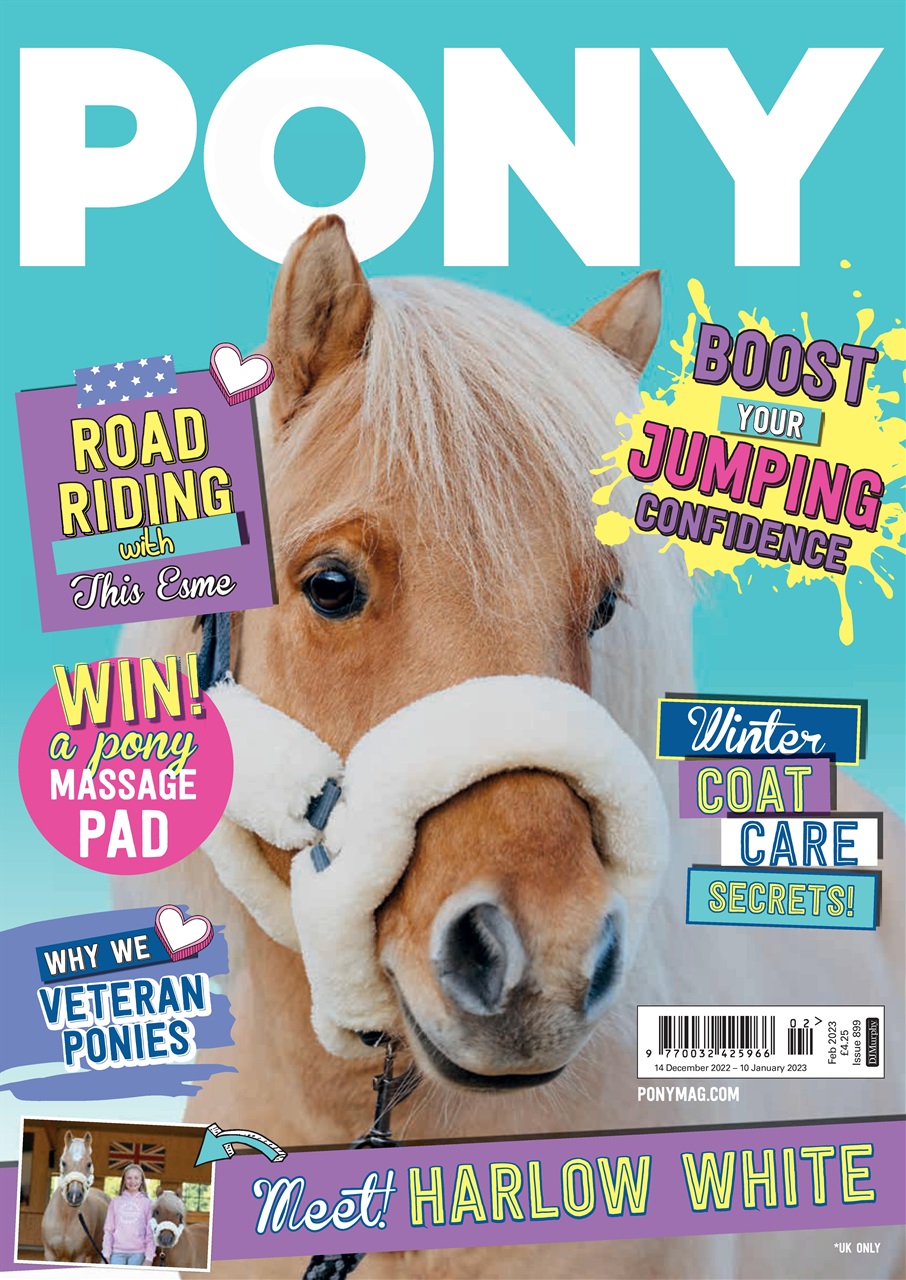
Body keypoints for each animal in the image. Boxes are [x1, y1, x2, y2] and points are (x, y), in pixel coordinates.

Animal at [41, 1130, 110, 1264]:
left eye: (89, 1164)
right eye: (63, 1162)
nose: (74, 1196)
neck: (66, 1217)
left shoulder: (79, 1256)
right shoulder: (50, 1255)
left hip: (98, 1254)